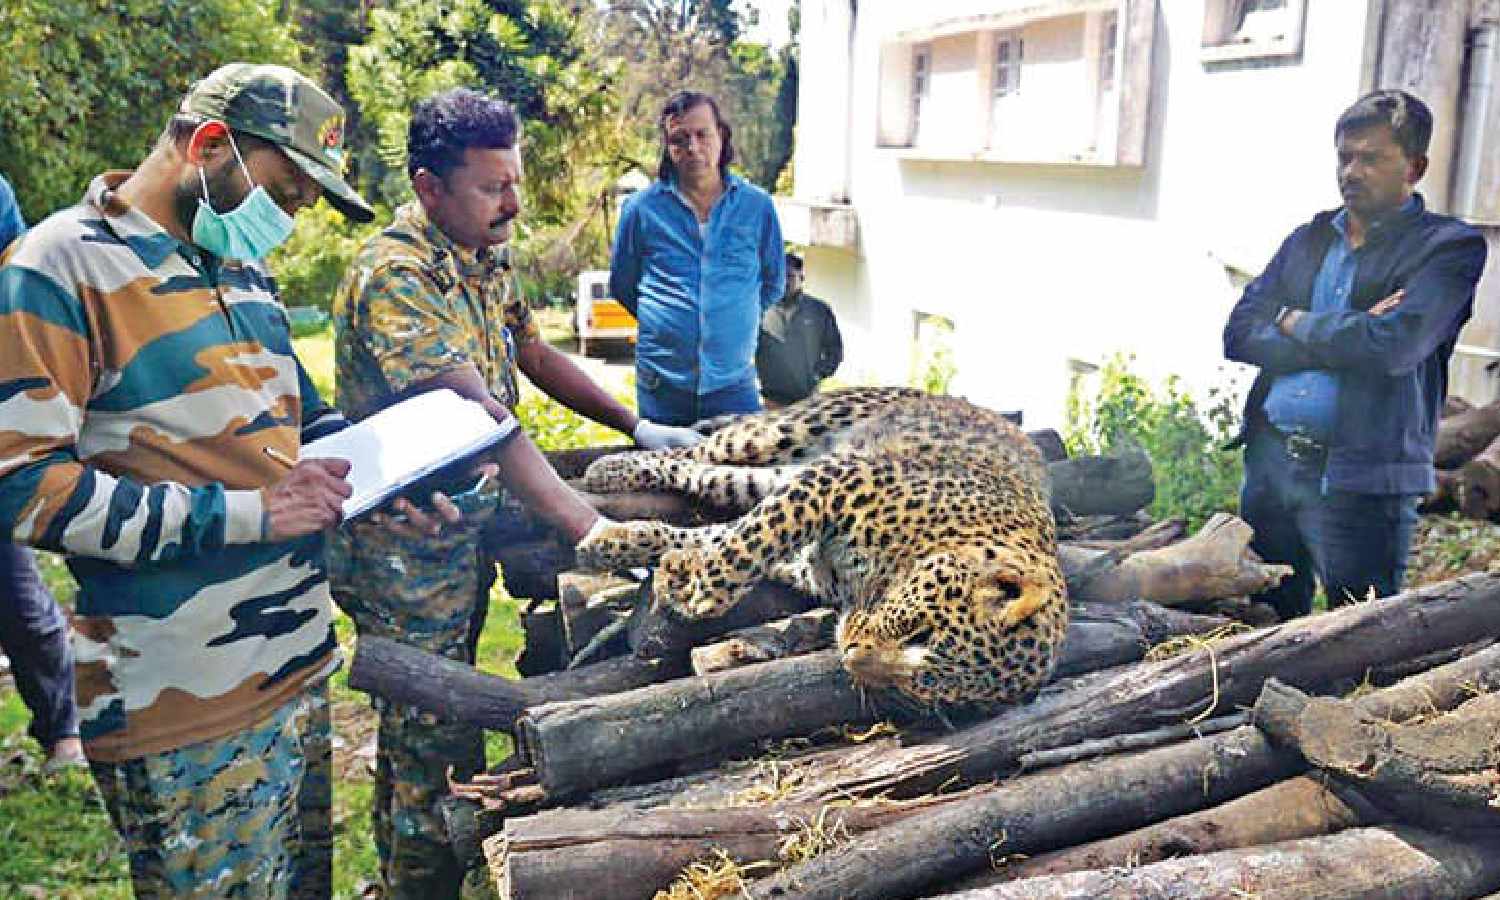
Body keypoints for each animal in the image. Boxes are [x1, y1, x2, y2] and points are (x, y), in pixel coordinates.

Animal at [575, 386, 1069, 712]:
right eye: (920, 634)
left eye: (920, 684)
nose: (850, 655)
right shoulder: (839, 479)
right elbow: (751, 538)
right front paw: (703, 592)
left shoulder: (809, 550)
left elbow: (725, 537)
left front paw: (671, 566)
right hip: (784, 431)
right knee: (695, 452)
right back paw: (610, 469)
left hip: (773, 470)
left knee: (711, 477)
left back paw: (610, 523)